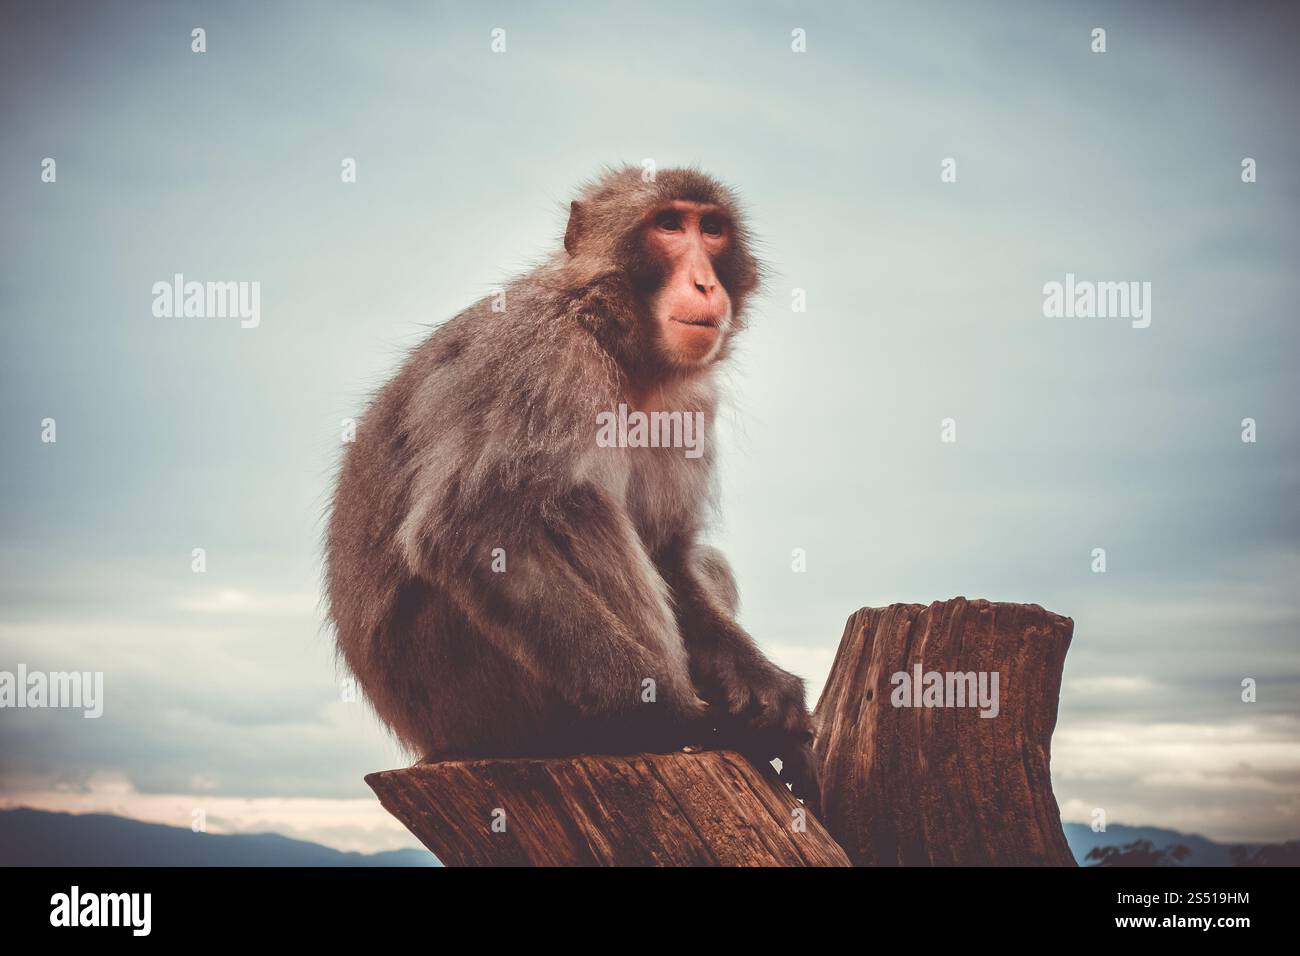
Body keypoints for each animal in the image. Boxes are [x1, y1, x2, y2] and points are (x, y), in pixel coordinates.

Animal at [325, 166, 820, 811]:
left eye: (711, 229)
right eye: (669, 225)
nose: (705, 283)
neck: (614, 340)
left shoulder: (689, 405)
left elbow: (670, 552)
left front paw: (771, 694)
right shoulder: (543, 359)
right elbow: (469, 534)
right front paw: (676, 716)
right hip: (467, 695)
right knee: (570, 506)